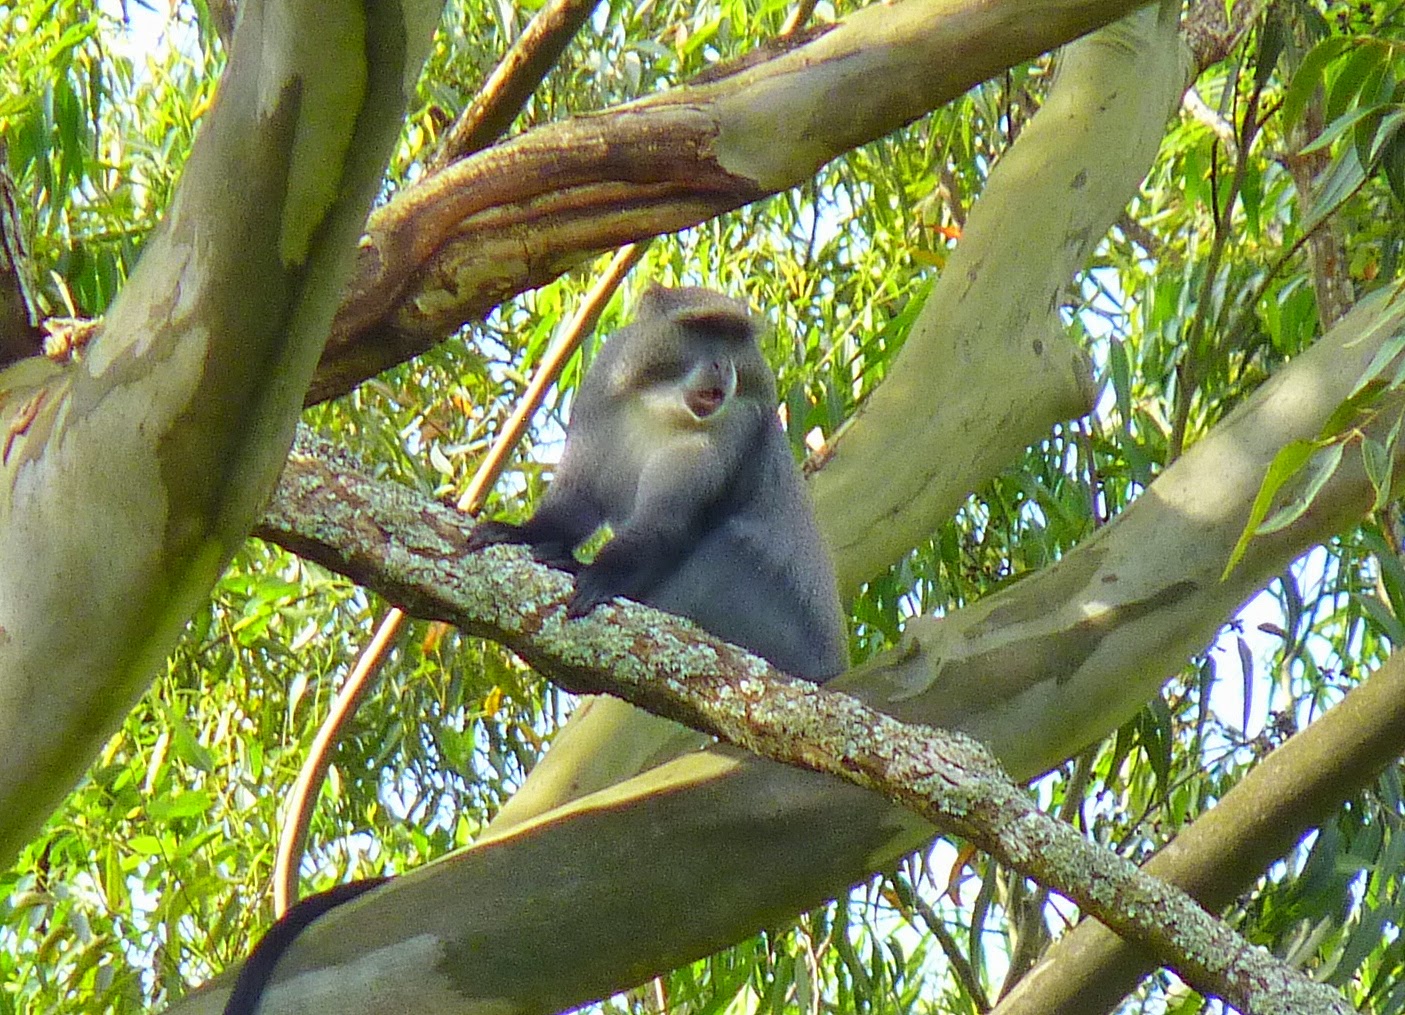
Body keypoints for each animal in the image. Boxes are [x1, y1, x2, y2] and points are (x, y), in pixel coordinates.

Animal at [219, 285, 846, 1013]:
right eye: (701, 330)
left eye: (735, 339)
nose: (719, 368)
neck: (659, 409)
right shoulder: (599, 399)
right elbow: (575, 500)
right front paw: (526, 534)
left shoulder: (722, 443)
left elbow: (662, 529)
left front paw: (594, 574)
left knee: (712, 547)